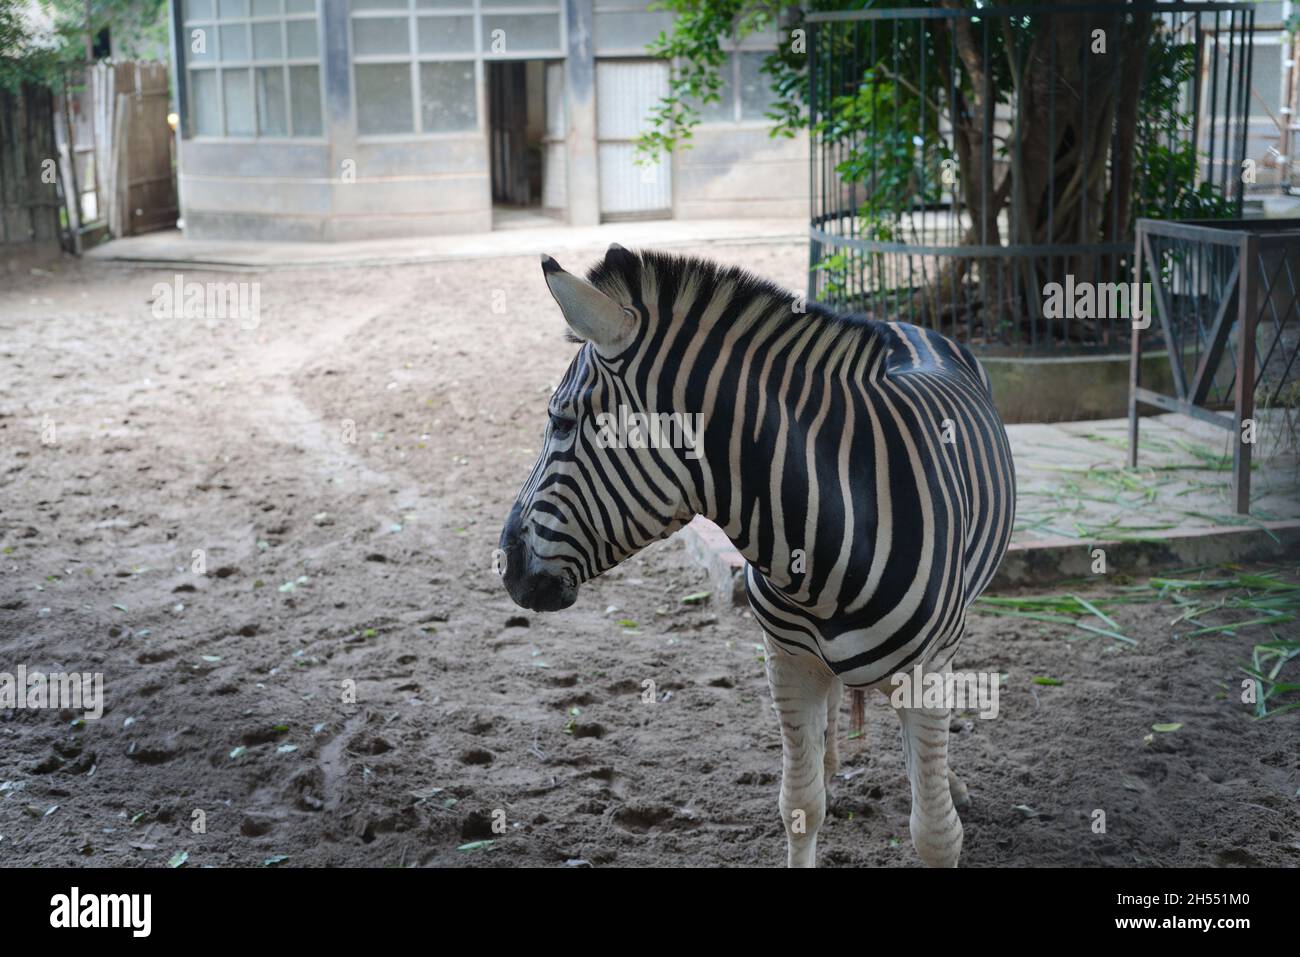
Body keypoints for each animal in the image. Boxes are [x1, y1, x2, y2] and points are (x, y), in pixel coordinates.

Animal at [499, 244, 1016, 867]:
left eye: (560, 421)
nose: (504, 563)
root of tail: (904, 323)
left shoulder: (926, 669)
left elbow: (936, 833)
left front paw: (937, 789)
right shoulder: (787, 659)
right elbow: (801, 805)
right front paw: (819, 779)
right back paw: (832, 758)